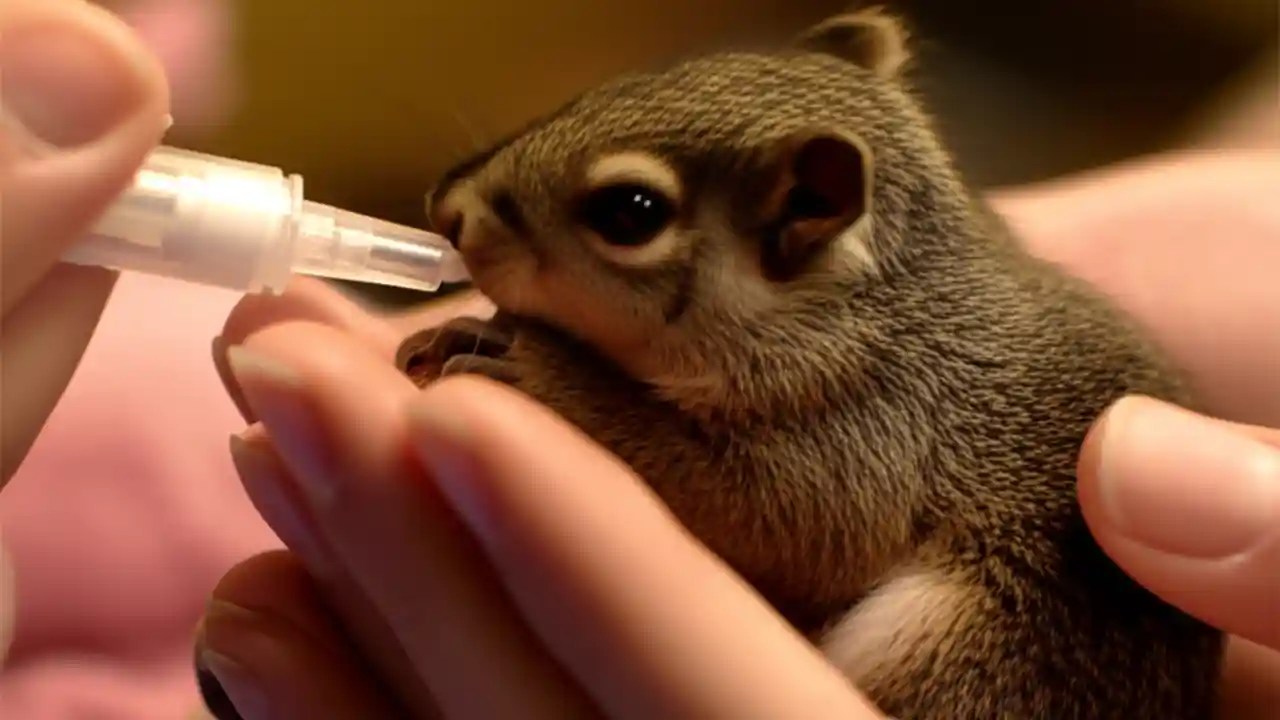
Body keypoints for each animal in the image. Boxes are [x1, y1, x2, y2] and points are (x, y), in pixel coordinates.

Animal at [396, 8, 1224, 718]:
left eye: (630, 212)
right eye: (612, 86)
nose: (447, 209)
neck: (867, 306)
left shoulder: (878, 432)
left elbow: (772, 515)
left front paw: (539, 366)